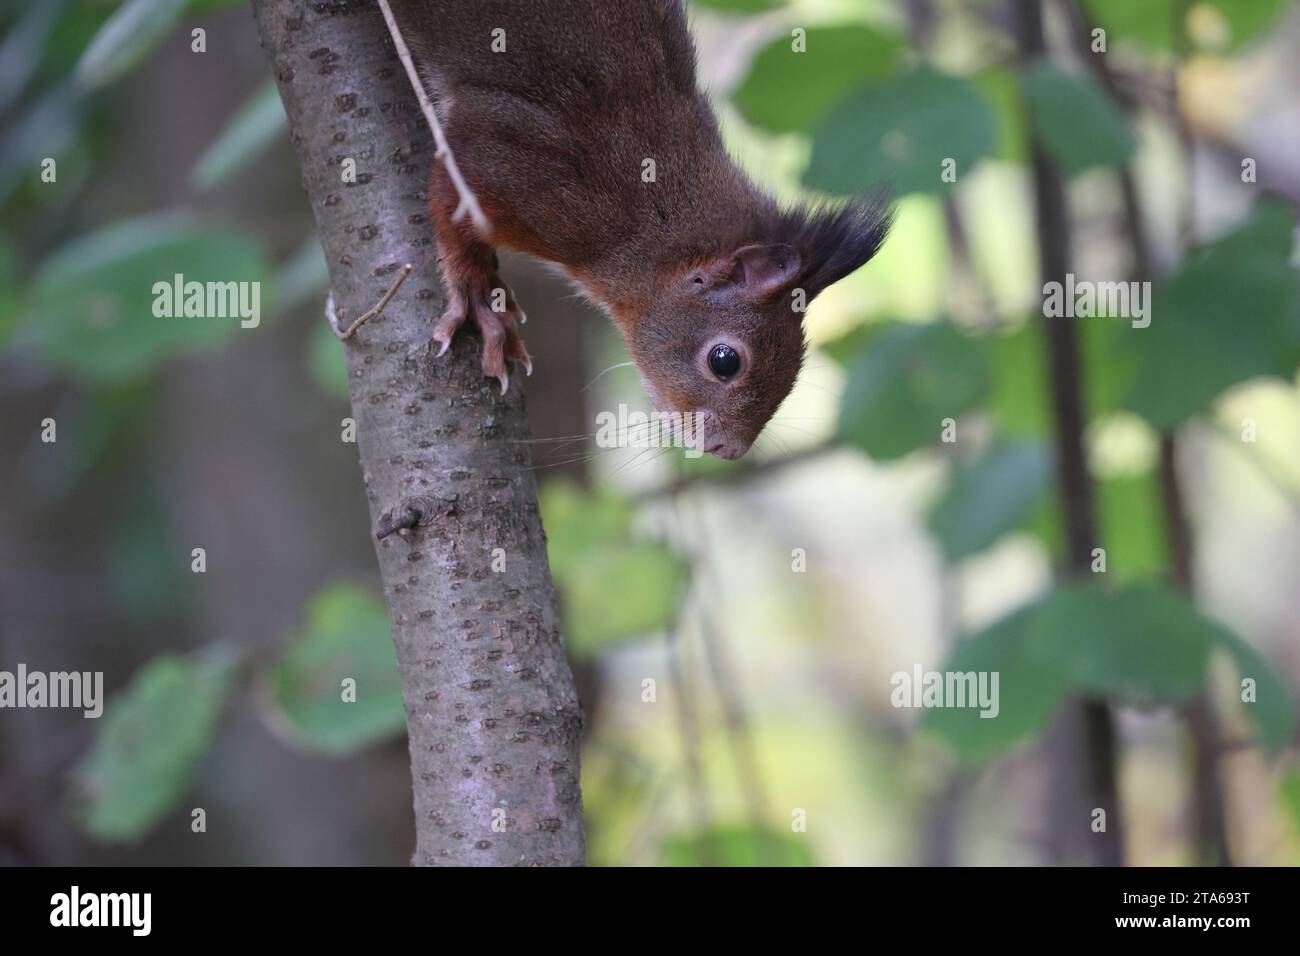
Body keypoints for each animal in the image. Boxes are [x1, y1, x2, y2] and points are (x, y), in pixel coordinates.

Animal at [387, 0, 891, 459]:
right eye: (725, 361)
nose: (728, 451)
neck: (659, 231)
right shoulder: (522, 173)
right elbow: (450, 193)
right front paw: (477, 296)